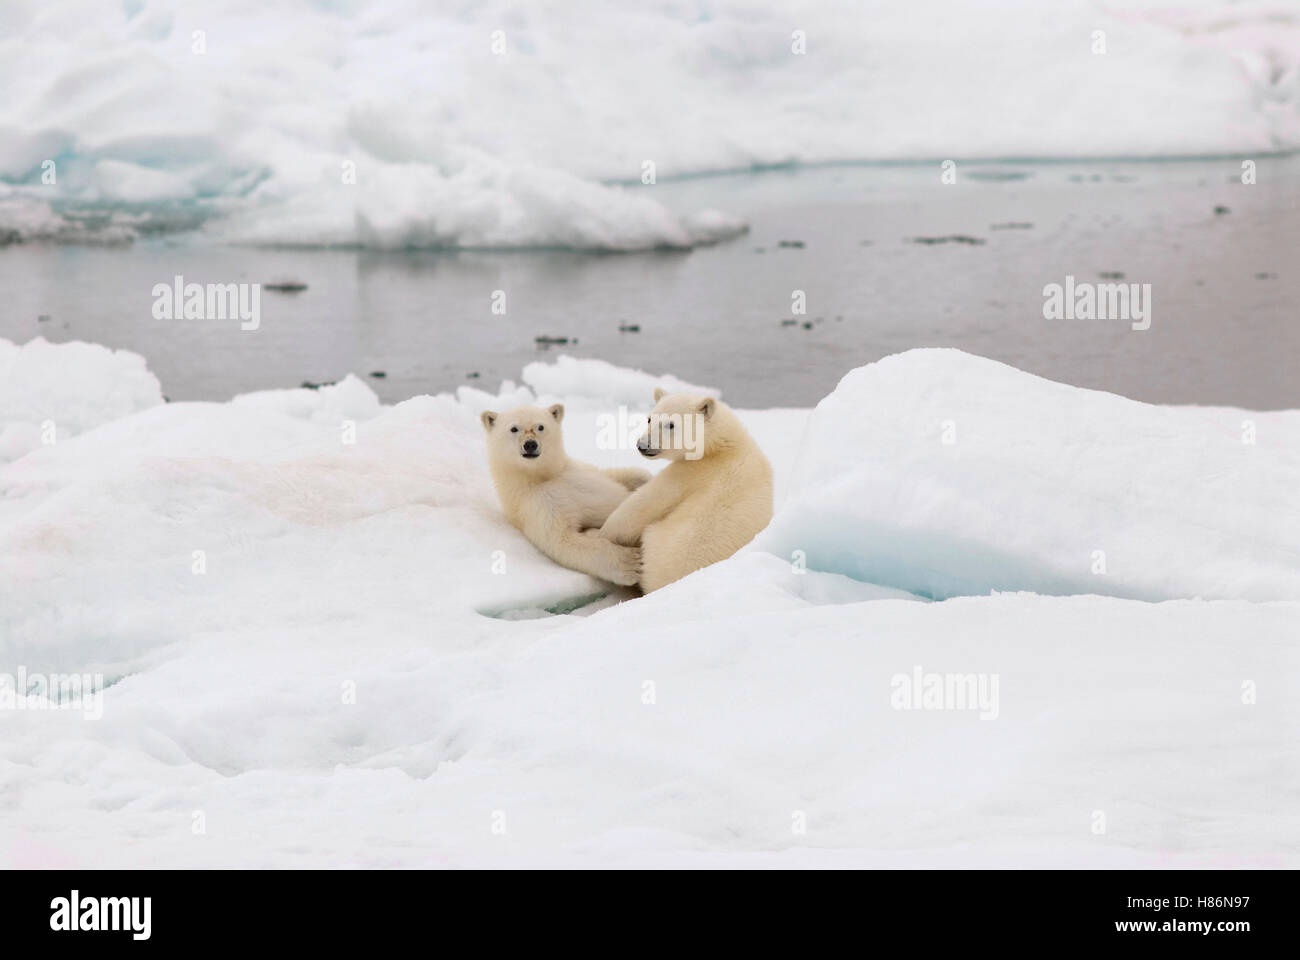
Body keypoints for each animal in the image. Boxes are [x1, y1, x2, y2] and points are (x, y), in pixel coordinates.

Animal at [482, 403, 650, 586]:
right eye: (514, 428)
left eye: (541, 426)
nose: (530, 444)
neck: (540, 478)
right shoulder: (536, 504)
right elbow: (563, 540)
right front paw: (632, 562)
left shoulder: (580, 469)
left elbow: (616, 475)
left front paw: (644, 478)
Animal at [599, 389, 773, 592]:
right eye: (650, 419)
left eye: (671, 424)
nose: (643, 445)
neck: (726, 445)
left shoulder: (691, 472)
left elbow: (641, 507)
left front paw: (604, 533)